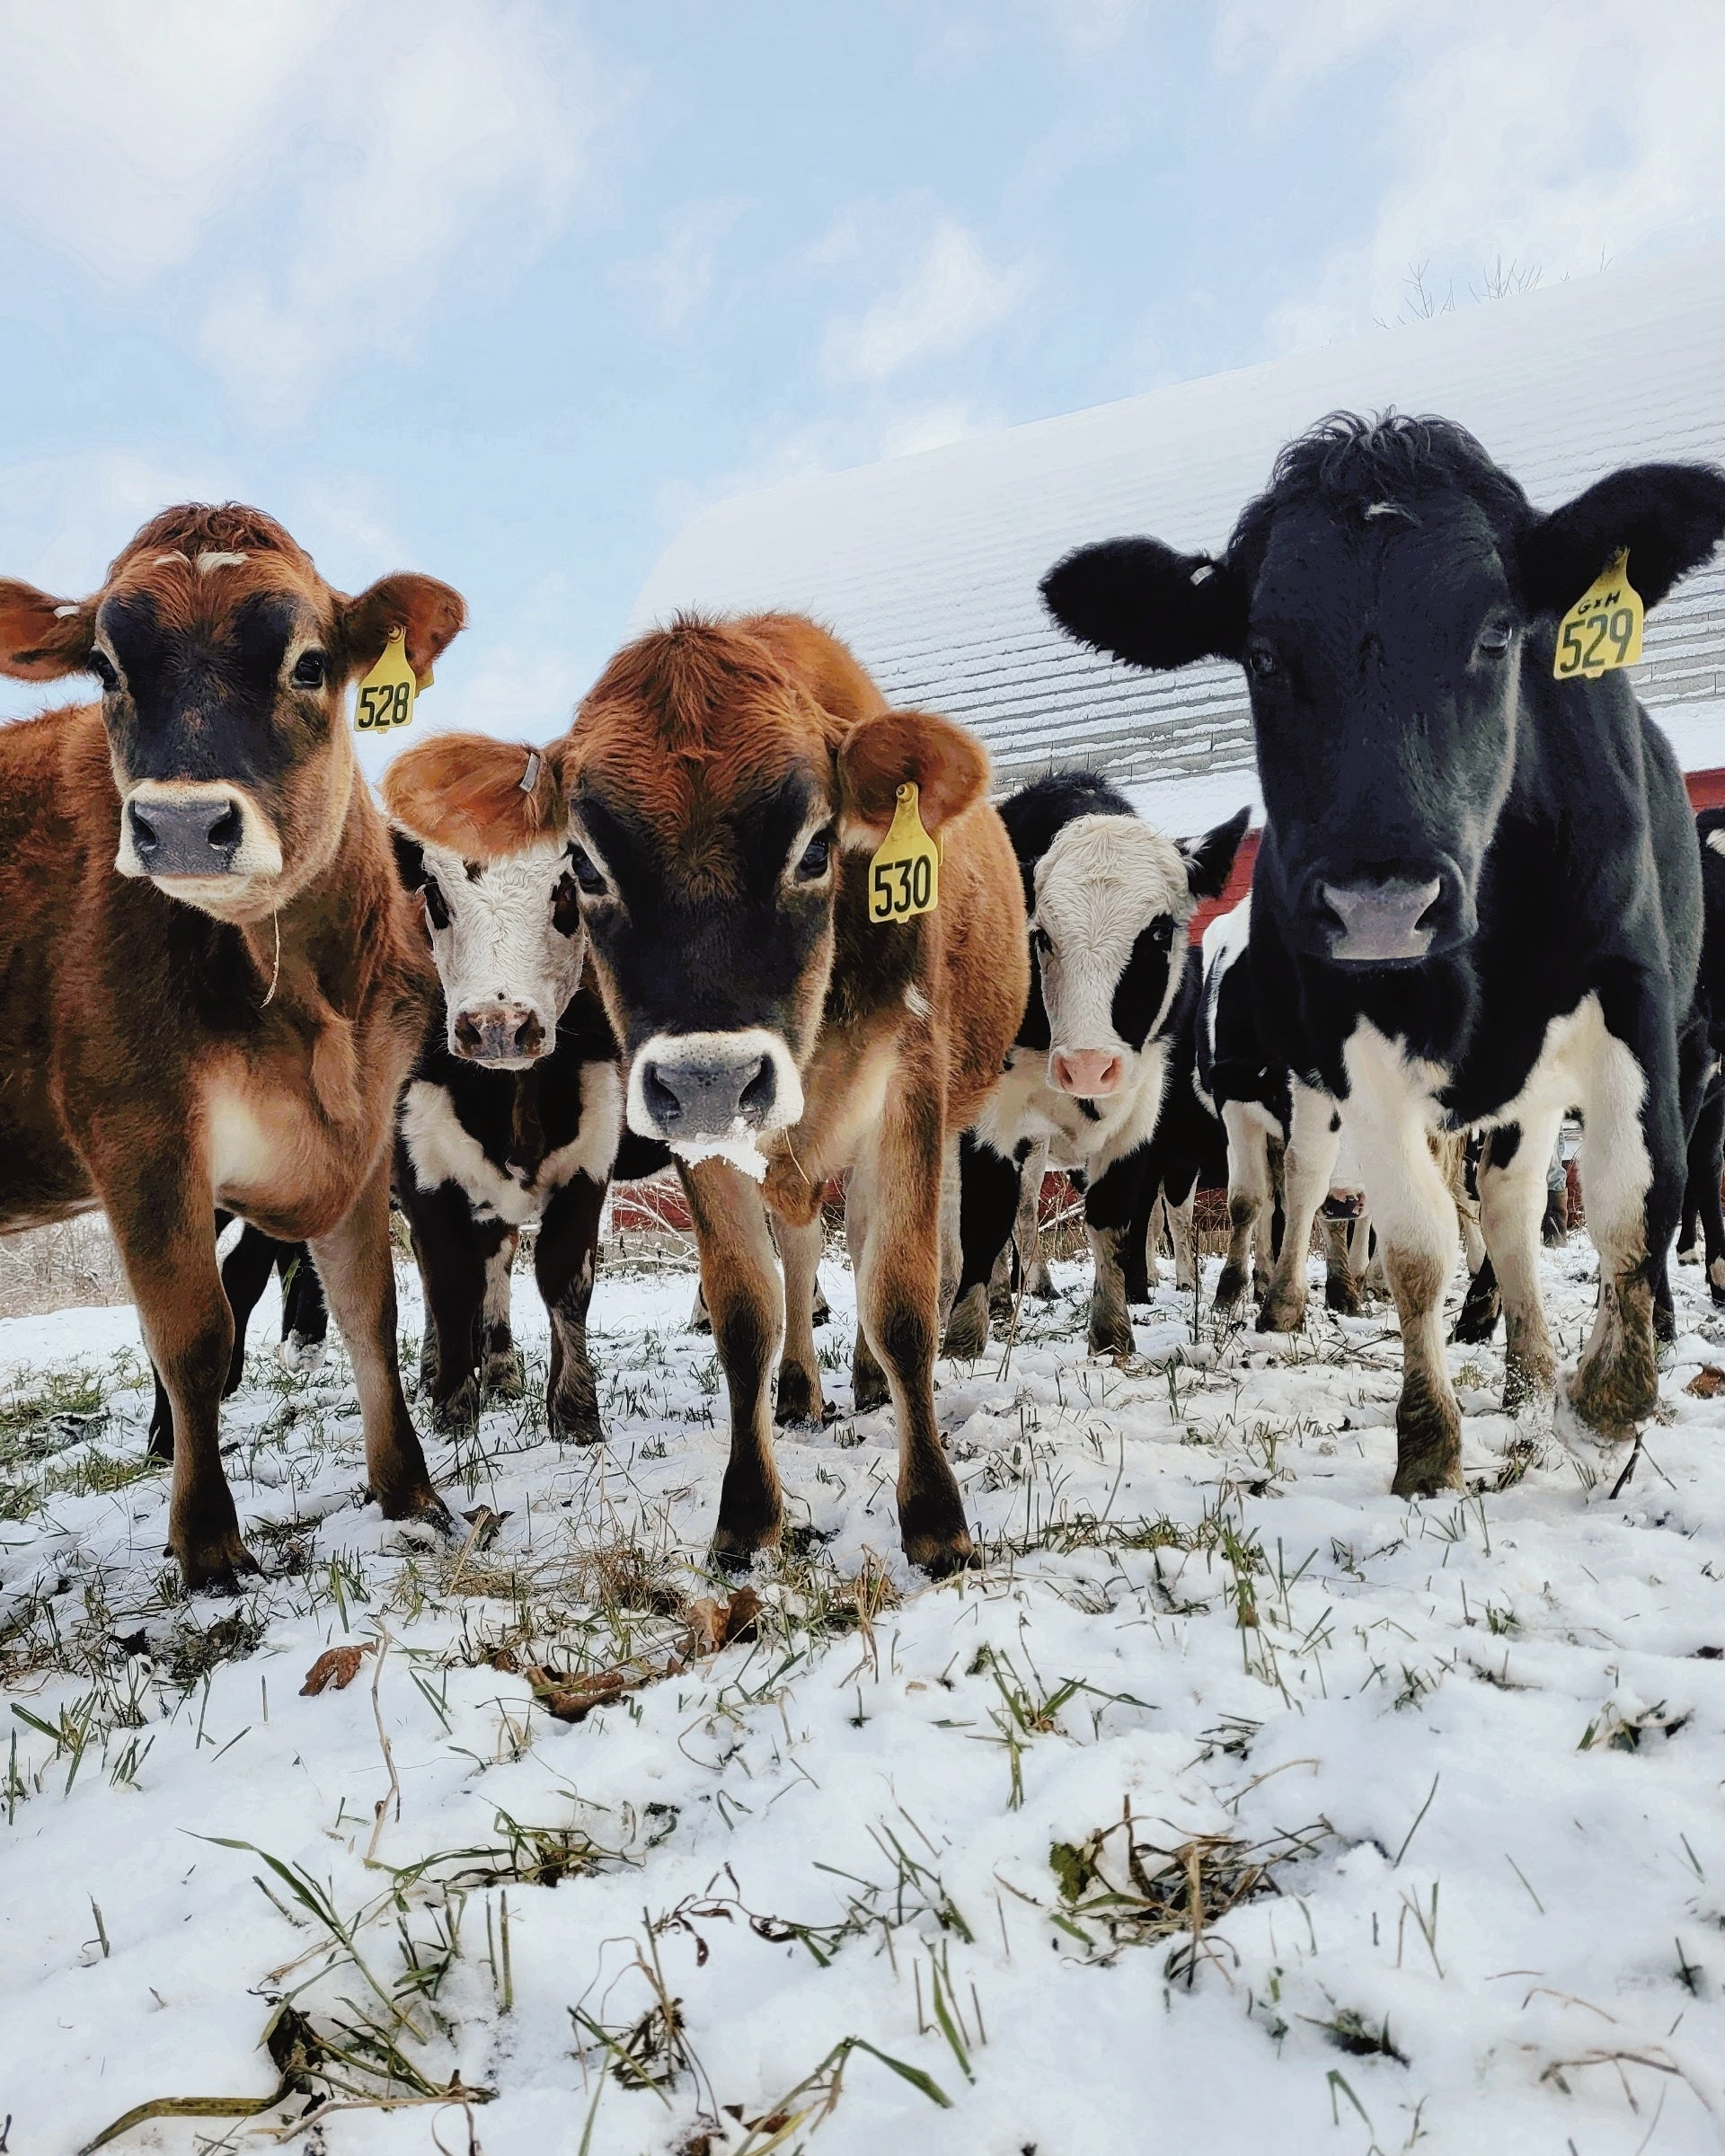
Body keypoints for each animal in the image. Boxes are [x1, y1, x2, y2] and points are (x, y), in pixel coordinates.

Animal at [0, 504, 464, 1586]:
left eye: (308, 664)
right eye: (105, 668)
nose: (178, 826)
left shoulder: (365, 1126)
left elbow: (369, 1309)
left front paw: (411, 1496)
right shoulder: (138, 1129)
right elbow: (193, 1336)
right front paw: (209, 1545)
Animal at [383, 613, 1028, 1574]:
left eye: (816, 847)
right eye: (586, 866)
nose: (714, 1077)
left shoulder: (908, 1088)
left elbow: (902, 1299)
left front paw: (936, 1518)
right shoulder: (692, 1130)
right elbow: (746, 1310)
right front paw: (749, 1513)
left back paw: (864, 1382)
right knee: (798, 1253)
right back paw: (799, 1389)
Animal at [942, 771, 1245, 1358]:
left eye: (1158, 932)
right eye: (1040, 935)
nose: (1085, 1067)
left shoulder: (1140, 1114)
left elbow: (1112, 1218)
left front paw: (1112, 1334)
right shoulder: (987, 1118)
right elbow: (983, 1216)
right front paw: (962, 1345)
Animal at [1043, 412, 1724, 1494]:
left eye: (1498, 633)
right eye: (1264, 655)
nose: (1381, 904)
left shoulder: (1631, 999)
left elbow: (1628, 1202)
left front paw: (1609, 1397)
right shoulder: (1353, 1038)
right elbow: (1412, 1243)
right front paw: (1427, 1439)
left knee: (1519, 1206)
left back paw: (1542, 1363)